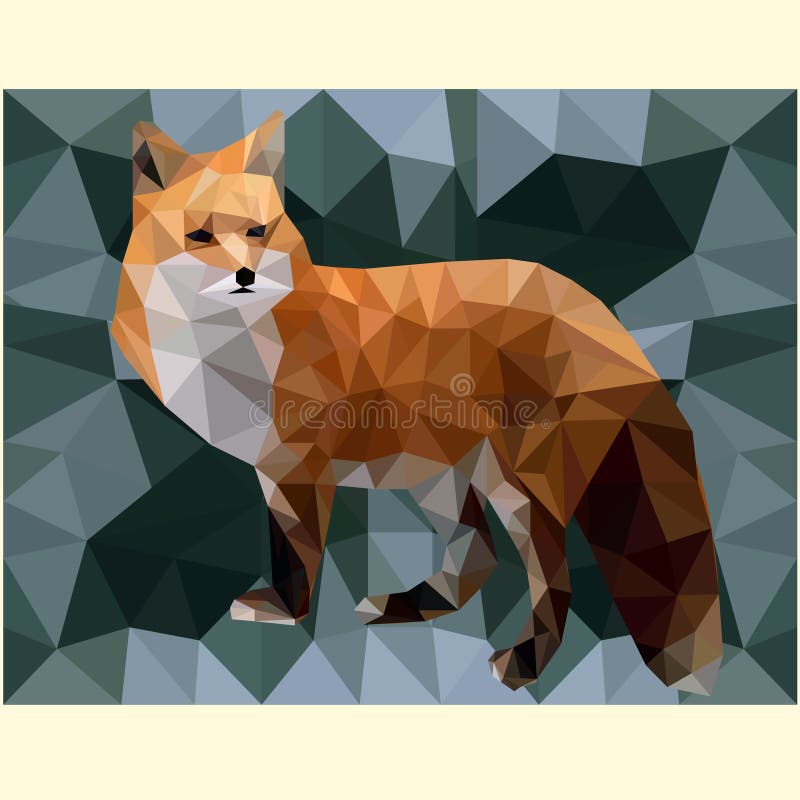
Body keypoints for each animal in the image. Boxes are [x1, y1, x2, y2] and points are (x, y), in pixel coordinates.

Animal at [111, 111, 723, 693]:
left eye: (258, 230)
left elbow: (298, 555)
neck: (231, 351)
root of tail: (601, 314)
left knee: (554, 580)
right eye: (199, 235)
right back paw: (413, 606)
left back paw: (525, 663)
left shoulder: (299, 467)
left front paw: (288, 613)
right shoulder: (270, 468)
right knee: (479, 555)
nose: (246, 273)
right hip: (441, 474)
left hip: (520, 486)